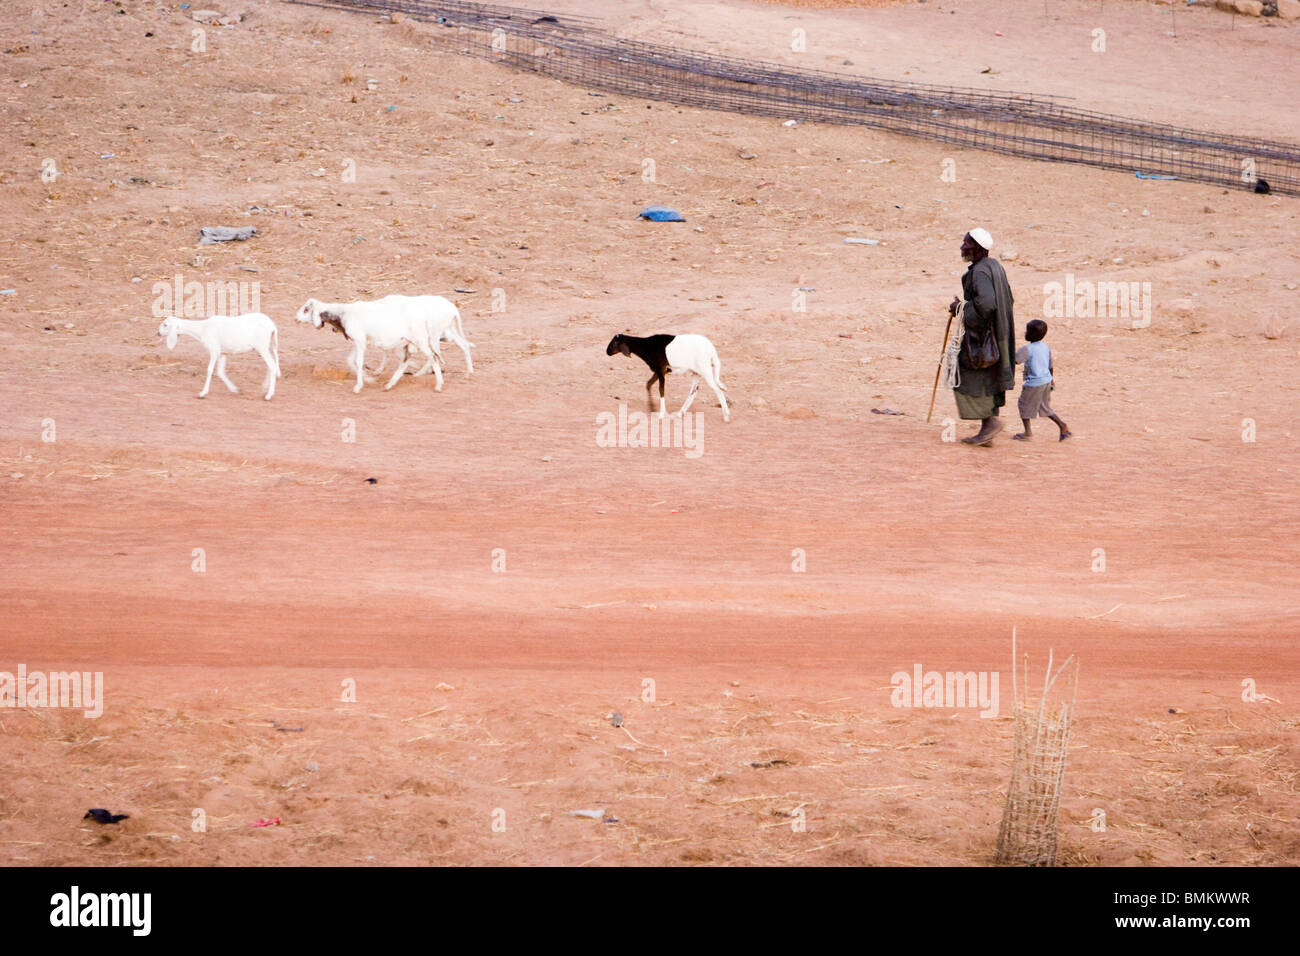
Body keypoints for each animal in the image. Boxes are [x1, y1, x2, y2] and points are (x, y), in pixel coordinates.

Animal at [295, 295, 444, 393]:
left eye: (306, 309)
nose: (296, 319)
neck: (343, 314)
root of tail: (424, 318)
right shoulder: (359, 341)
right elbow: (351, 361)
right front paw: (368, 379)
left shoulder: (360, 341)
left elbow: (359, 362)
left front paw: (358, 386)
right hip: (406, 343)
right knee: (405, 361)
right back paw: (390, 385)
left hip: (420, 340)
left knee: (433, 358)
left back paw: (438, 385)